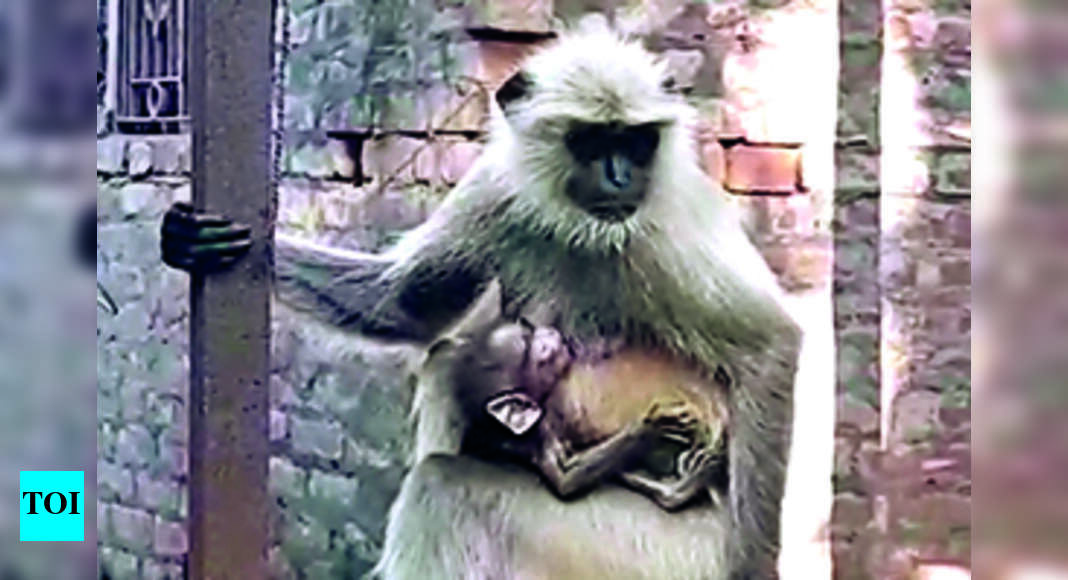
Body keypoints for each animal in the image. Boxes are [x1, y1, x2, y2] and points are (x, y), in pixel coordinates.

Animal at [161, 20, 801, 580]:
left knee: (444, 485)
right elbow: (405, 308)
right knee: (448, 358)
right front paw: (196, 243)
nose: (621, 177)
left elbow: (771, 349)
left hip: (649, 550)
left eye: (635, 142)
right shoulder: (496, 191)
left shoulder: (662, 230)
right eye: (593, 141)